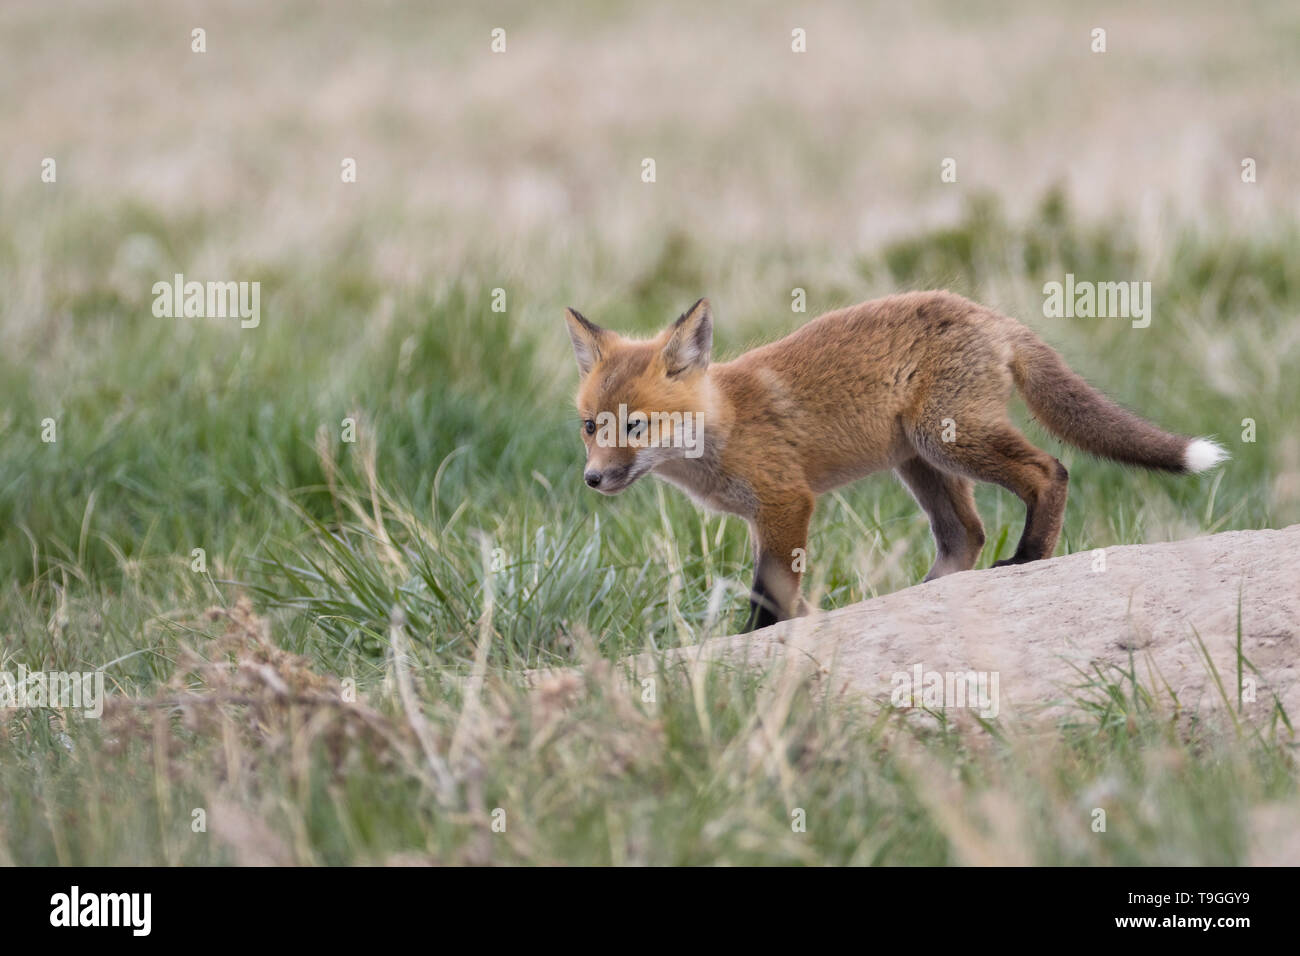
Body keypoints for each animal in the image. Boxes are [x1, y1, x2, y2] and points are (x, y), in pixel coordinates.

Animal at [564, 291, 1227, 631]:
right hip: (921, 462)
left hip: (948, 441)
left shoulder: (786, 502)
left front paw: (756, 640)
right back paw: (929, 591)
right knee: (967, 533)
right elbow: (787, 597)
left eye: (637, 425)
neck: (725, 421)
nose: (593, 478)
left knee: (1049, 471)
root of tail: (988, 312)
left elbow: (769, 597)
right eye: (592, 426)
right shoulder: (764, 517)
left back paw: (1028, 557)